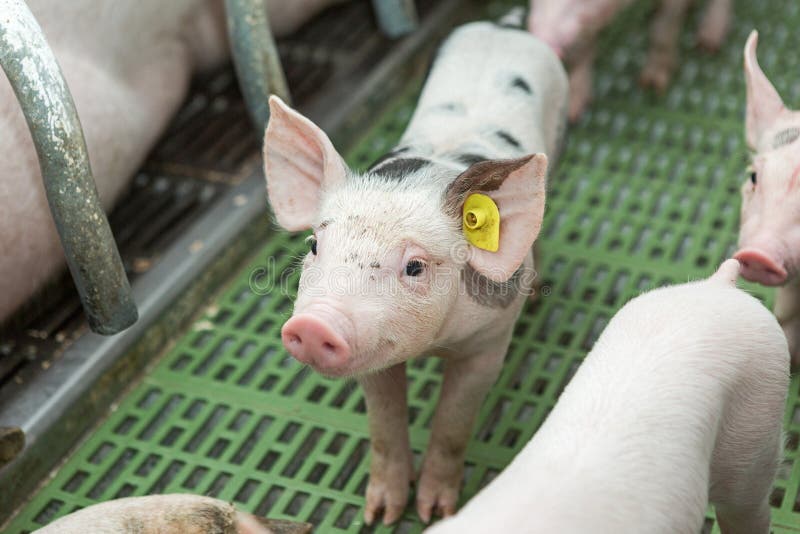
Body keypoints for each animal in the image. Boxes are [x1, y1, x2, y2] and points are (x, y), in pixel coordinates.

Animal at [263, 16, 568, 525]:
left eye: (415, 266)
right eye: (314, 245)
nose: (313, 324)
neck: (435, 345)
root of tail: (503, 25)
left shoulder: (488, 342)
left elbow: (453, 425)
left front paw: (434, 513)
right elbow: (384, 424)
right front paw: (380, 515)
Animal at [528, 0, 732, 121]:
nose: (542, 40)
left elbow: (664, 26)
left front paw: (651, 84)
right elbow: (585, 47)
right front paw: (573, 112)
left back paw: (708, 44)